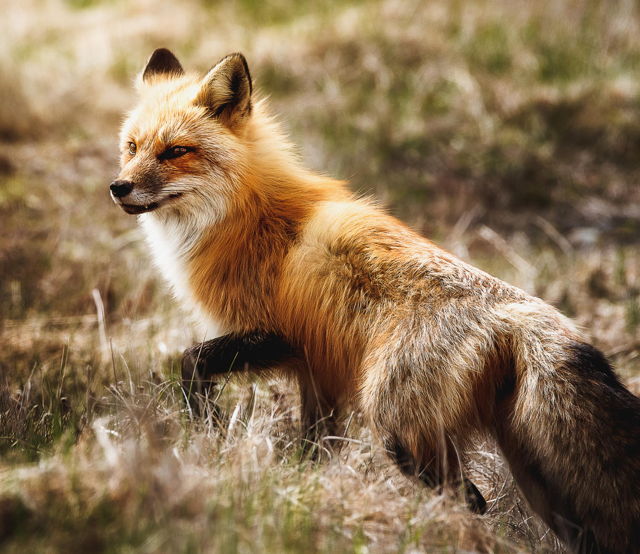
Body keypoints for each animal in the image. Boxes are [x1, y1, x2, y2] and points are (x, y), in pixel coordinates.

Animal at [111, 48, 640, 553]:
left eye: (176, 151)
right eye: (132, 148)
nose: (118, 187)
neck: (246, 213)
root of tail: (527, 315)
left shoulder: (279, 335)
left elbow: (190, 361)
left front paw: (210, 428)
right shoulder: (318, 370)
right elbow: (315, 446)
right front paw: (305, 490)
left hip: (401, 435)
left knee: (472, 499)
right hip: (541, 480)